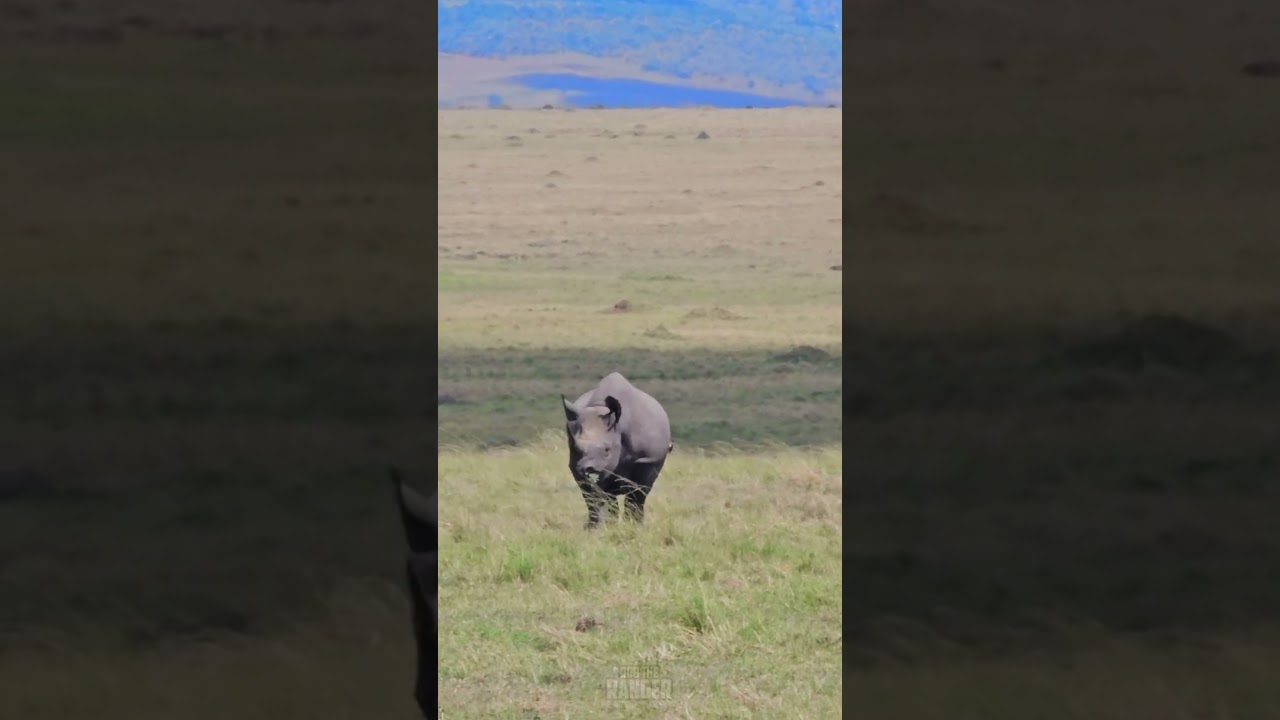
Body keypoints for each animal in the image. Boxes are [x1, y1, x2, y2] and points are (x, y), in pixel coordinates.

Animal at [561, 372, 673, 528]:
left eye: (607, 450)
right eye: (575, 448)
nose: (587, 469)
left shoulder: (647, 460)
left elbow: (636, 496)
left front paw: (633, 526)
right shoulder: (577, 468)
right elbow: (591, 499)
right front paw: (594, 528)